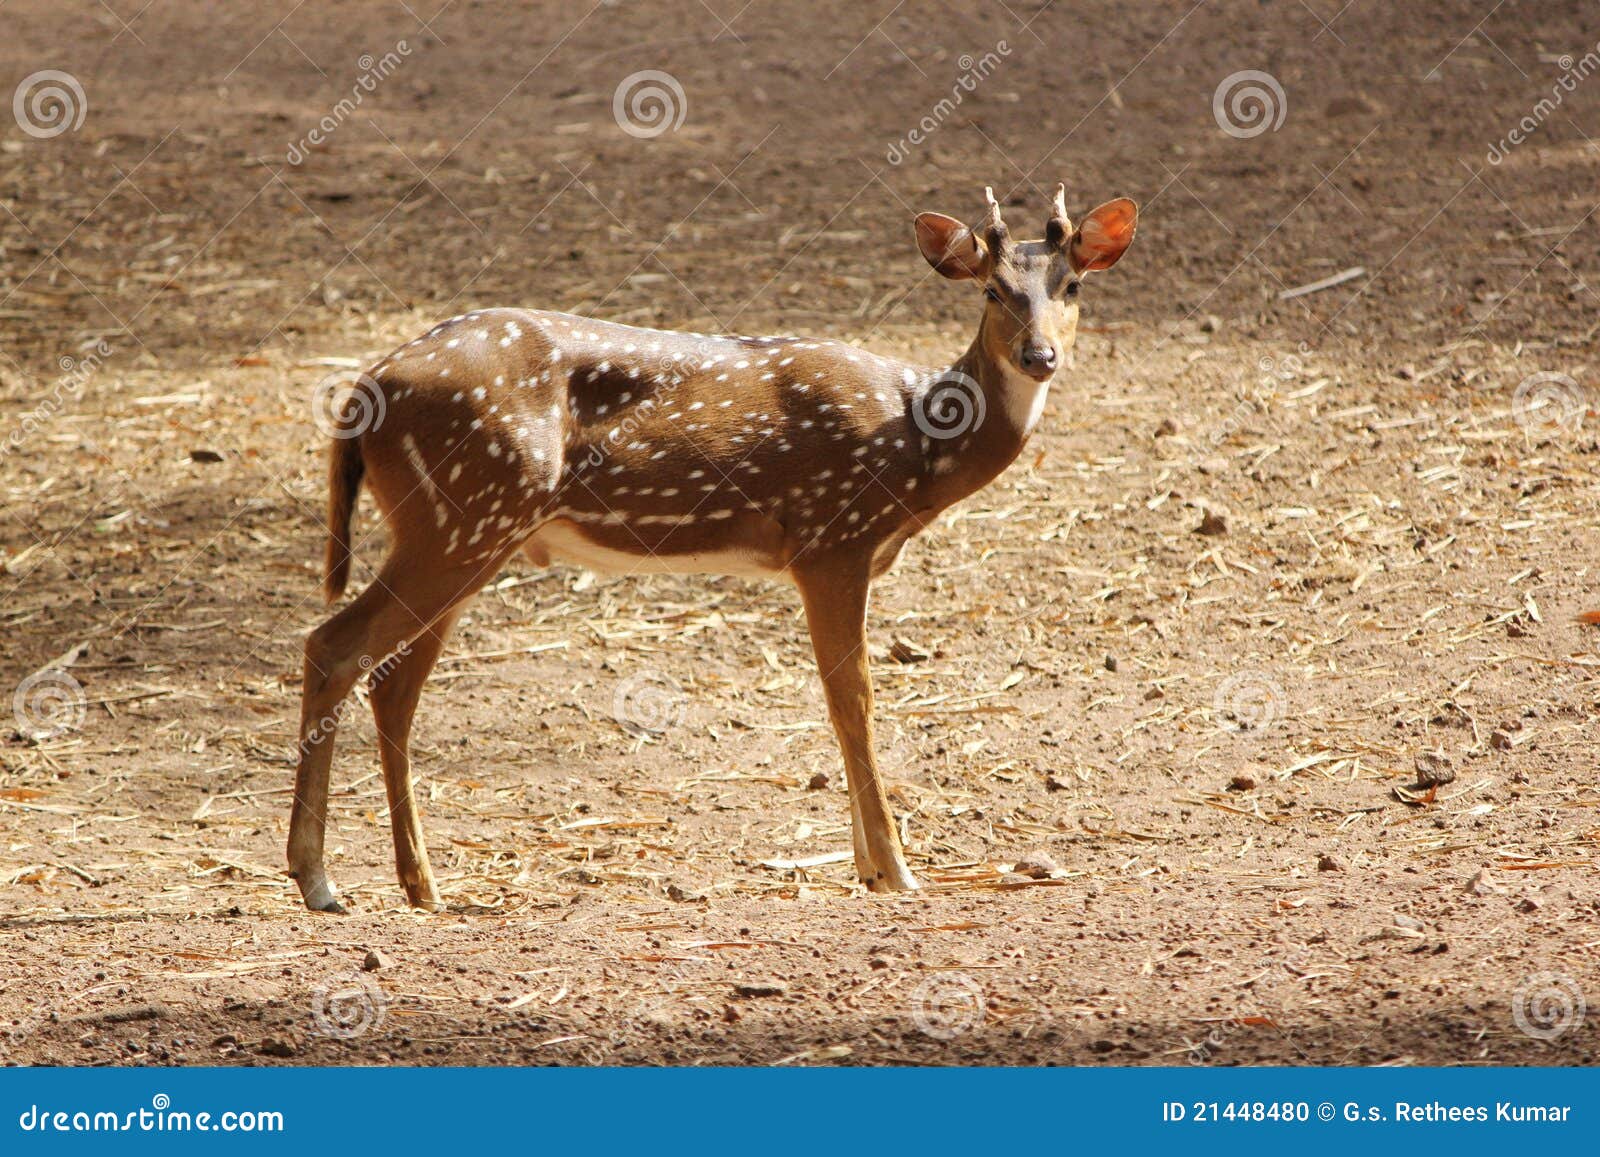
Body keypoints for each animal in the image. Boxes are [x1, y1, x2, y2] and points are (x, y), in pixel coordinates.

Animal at [287, 185, 1137, 912]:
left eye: (1071, 286)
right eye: (991, 290)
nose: (1039, 356)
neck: (918, 444)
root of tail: (364, 388)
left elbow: (839, 702)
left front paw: (869, 865)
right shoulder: (831, 536)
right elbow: (853, 700)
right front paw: (895, 870)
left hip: (467, 531)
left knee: (392, 681)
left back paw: (420, 883)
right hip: (464, 516)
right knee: (335, 644)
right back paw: (318, 878)